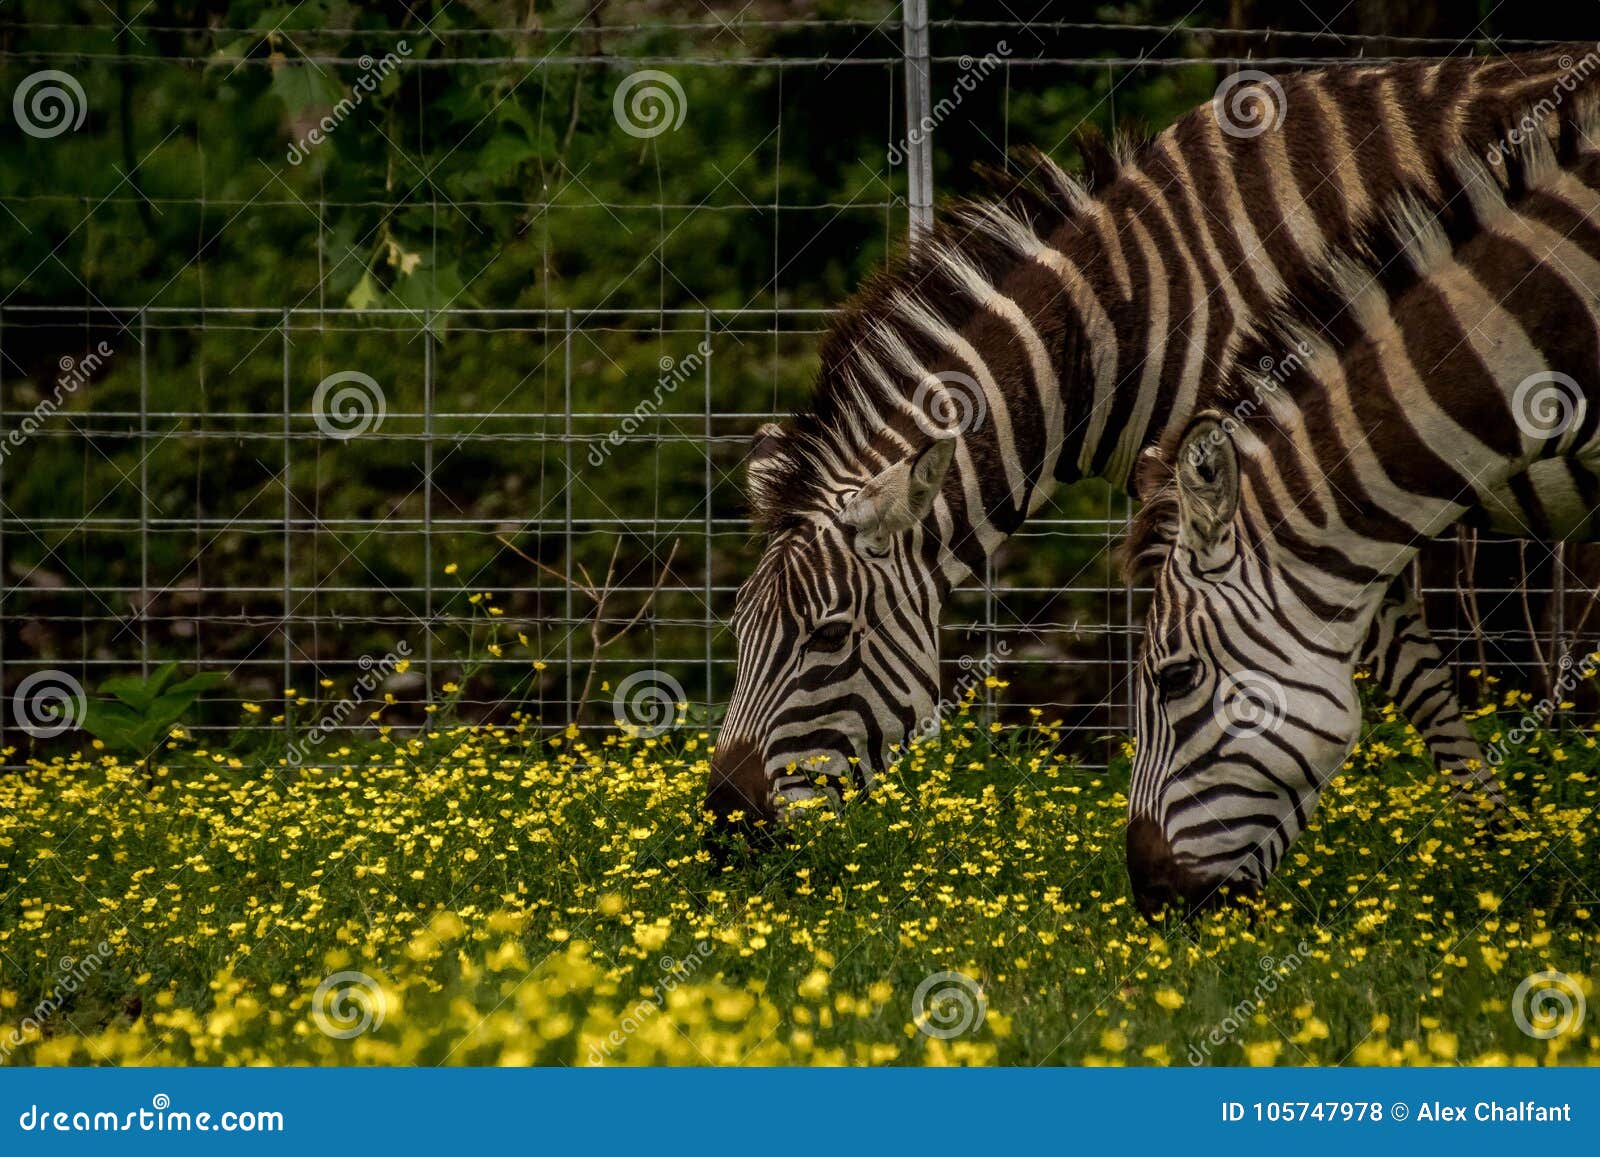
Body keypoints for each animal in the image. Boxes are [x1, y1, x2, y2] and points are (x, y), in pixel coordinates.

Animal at [708, 46, 1598, 831]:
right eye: (738, 633)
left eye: (828, 636)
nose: (723, 826)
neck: (1136, 318)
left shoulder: (1307, 484)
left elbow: (1399, 674)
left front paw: (1490, 842)